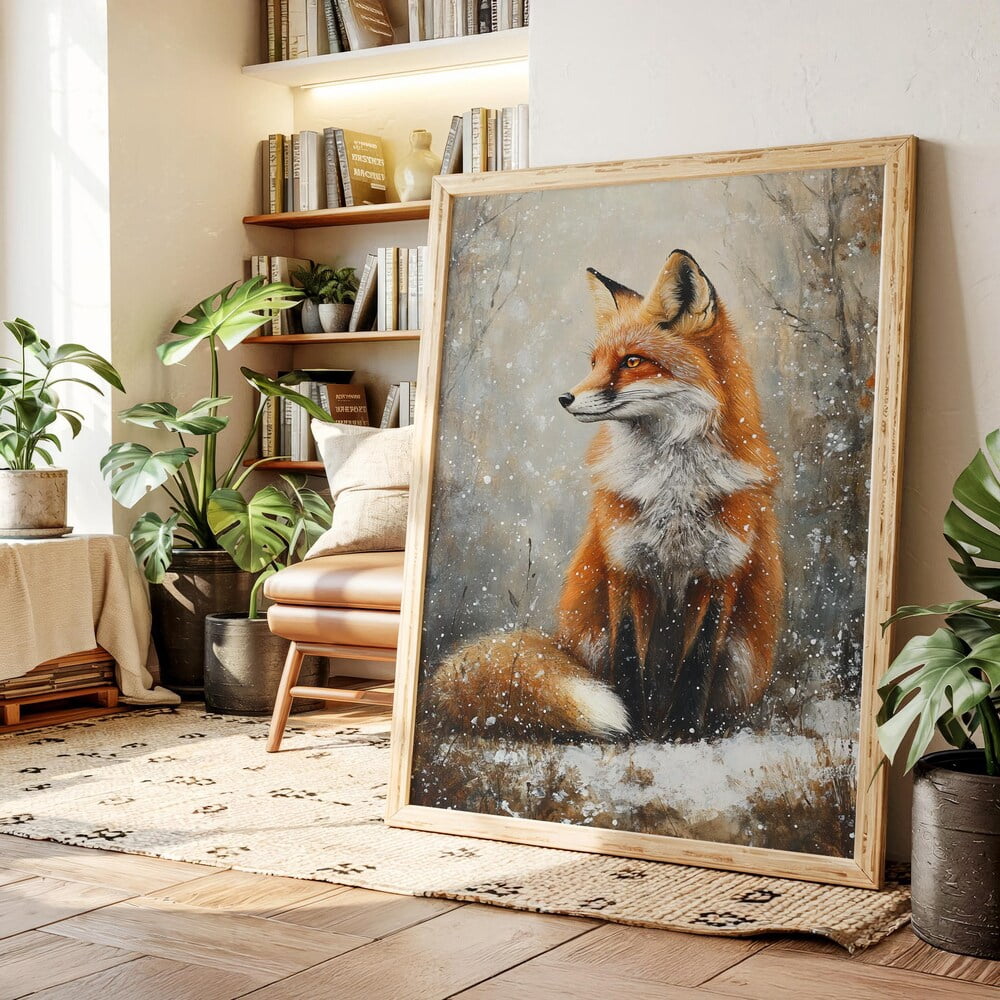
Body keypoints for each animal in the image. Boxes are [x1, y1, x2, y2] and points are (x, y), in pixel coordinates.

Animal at [430, 249, 784, 743]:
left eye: (633, 361)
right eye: (595, 361)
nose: (564, 398)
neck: (674, 487)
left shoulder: (721, 574)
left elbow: (696, 665)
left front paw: (683, 732)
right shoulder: (625, 567)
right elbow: (627, 657)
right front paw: (633, 726)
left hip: (746, 656)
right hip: (588, 632)